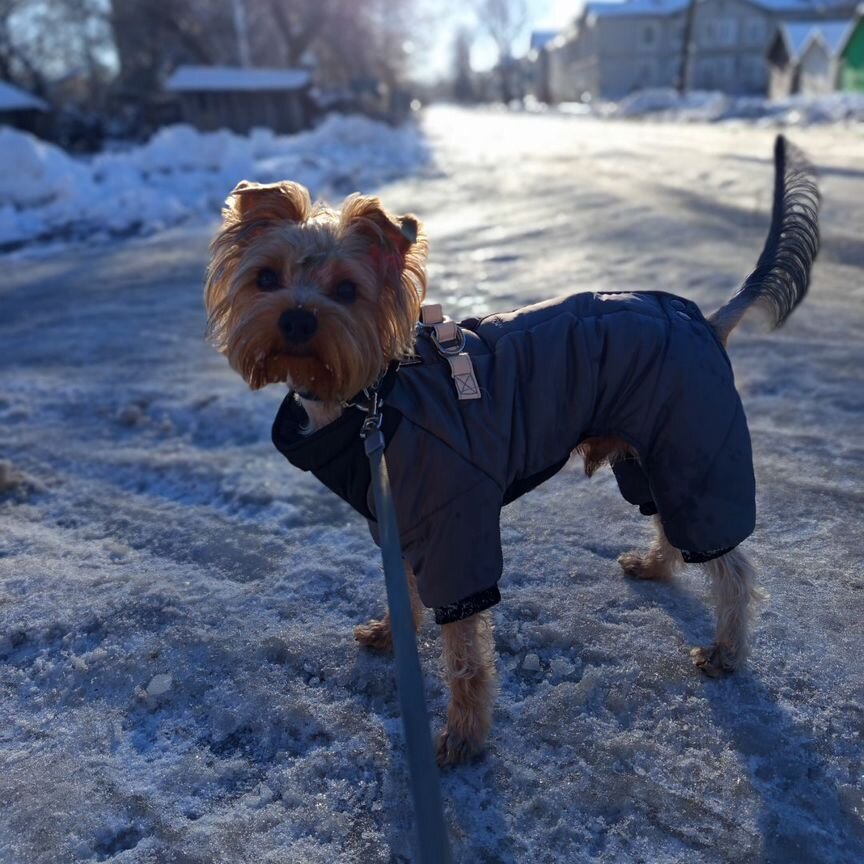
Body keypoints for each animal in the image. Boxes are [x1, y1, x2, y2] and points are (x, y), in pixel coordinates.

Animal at [206, 135, 820, 764]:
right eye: (265, 279)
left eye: (347, 291)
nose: (297, 318)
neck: (373, 396)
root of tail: (705, 319)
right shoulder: (398, 514)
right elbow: (404, 588)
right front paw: (391, 632)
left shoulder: (455, 528)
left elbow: (465, 649)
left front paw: (464, 734)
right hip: (650, 452)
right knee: (669, 522)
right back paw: (654, 566)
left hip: (693, 444)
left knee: (729, 563)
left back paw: (727, 650)